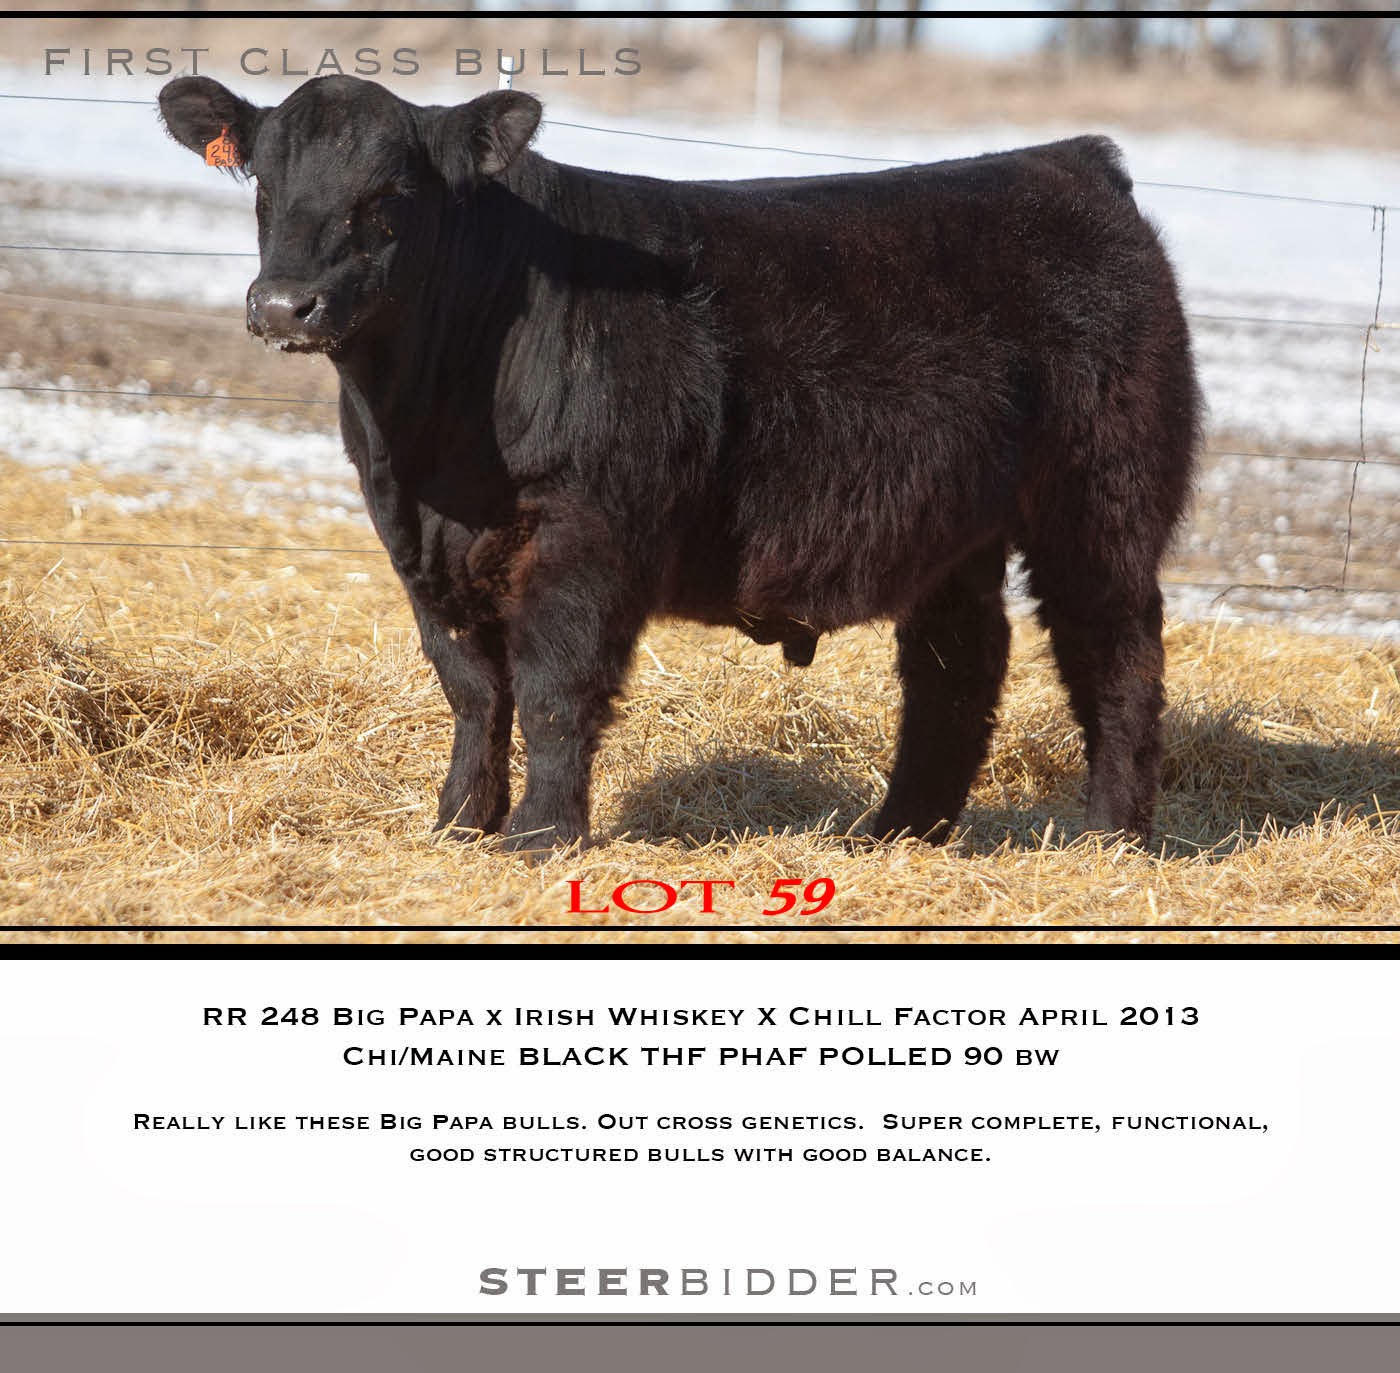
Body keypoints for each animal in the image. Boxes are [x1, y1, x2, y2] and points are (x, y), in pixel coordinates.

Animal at [158, 75, 1200, 852]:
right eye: (262, 186)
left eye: (389, 199)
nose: (285, 304)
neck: (424, 438)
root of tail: (1069, 161)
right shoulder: (416, 545)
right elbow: (472, 689)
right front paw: (458, 824)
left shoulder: (587, 534)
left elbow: (553, 689)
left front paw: (540, 836)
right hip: (953, 526)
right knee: (957, 664)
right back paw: (898, 831)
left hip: (1099, 500)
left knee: (1114, 652)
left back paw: (1110, 835)